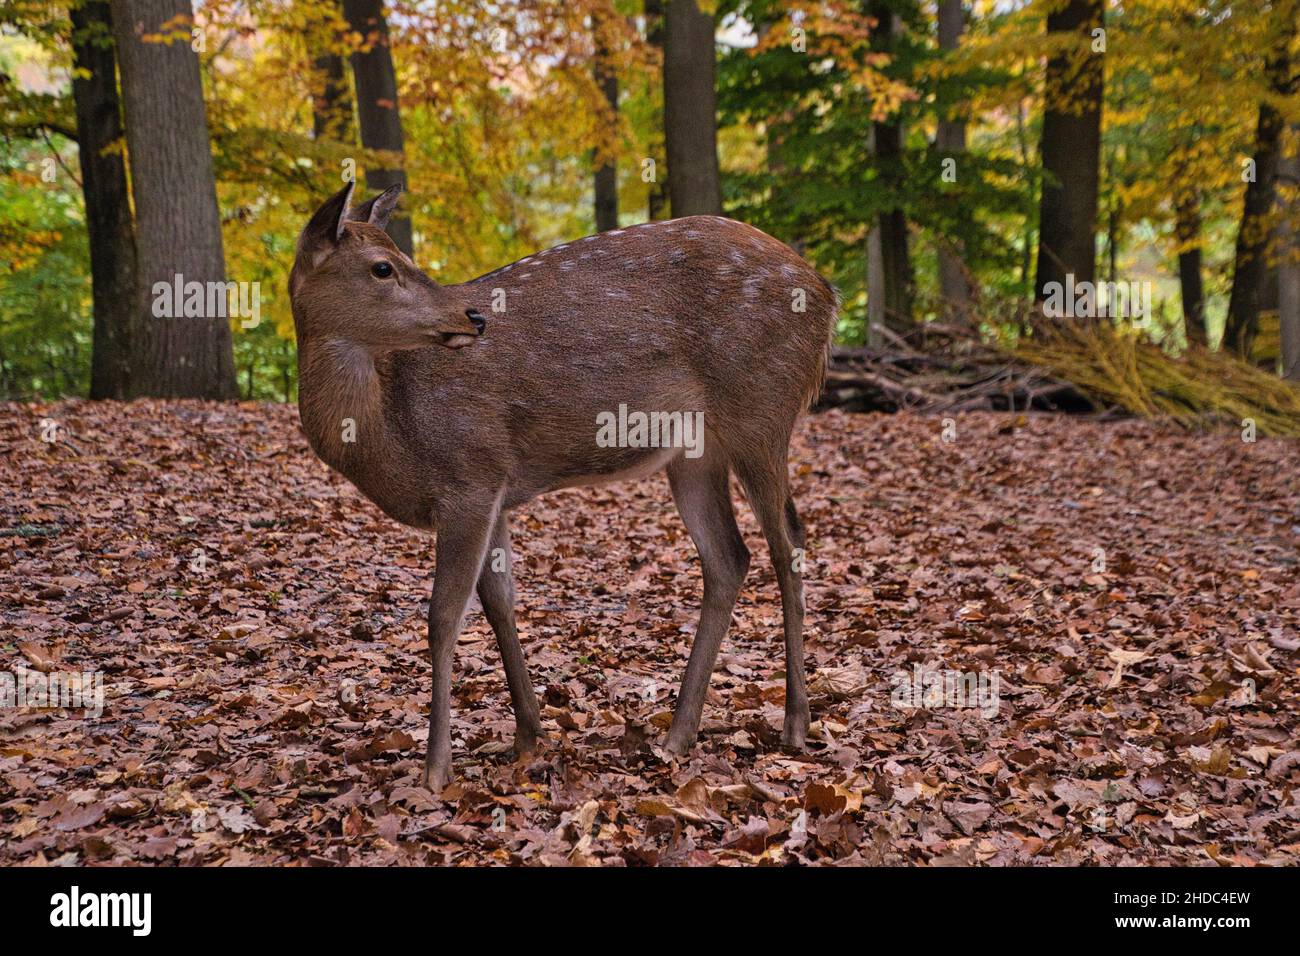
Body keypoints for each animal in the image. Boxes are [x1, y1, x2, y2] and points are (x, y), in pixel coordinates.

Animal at [289, 182, 838, 790]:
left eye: (398, 258)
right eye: (383, 266)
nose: (473, 315)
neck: (390, 431)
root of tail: (827, 293)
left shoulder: (468, 473)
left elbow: (443, 617)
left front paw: (436, 771)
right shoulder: (495, 486)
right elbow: (499, 600)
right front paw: (530, 734)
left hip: (761, 411)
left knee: (789, 542)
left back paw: (794, 725)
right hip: (695, 453)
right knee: (729, 556)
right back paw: (678, 734)